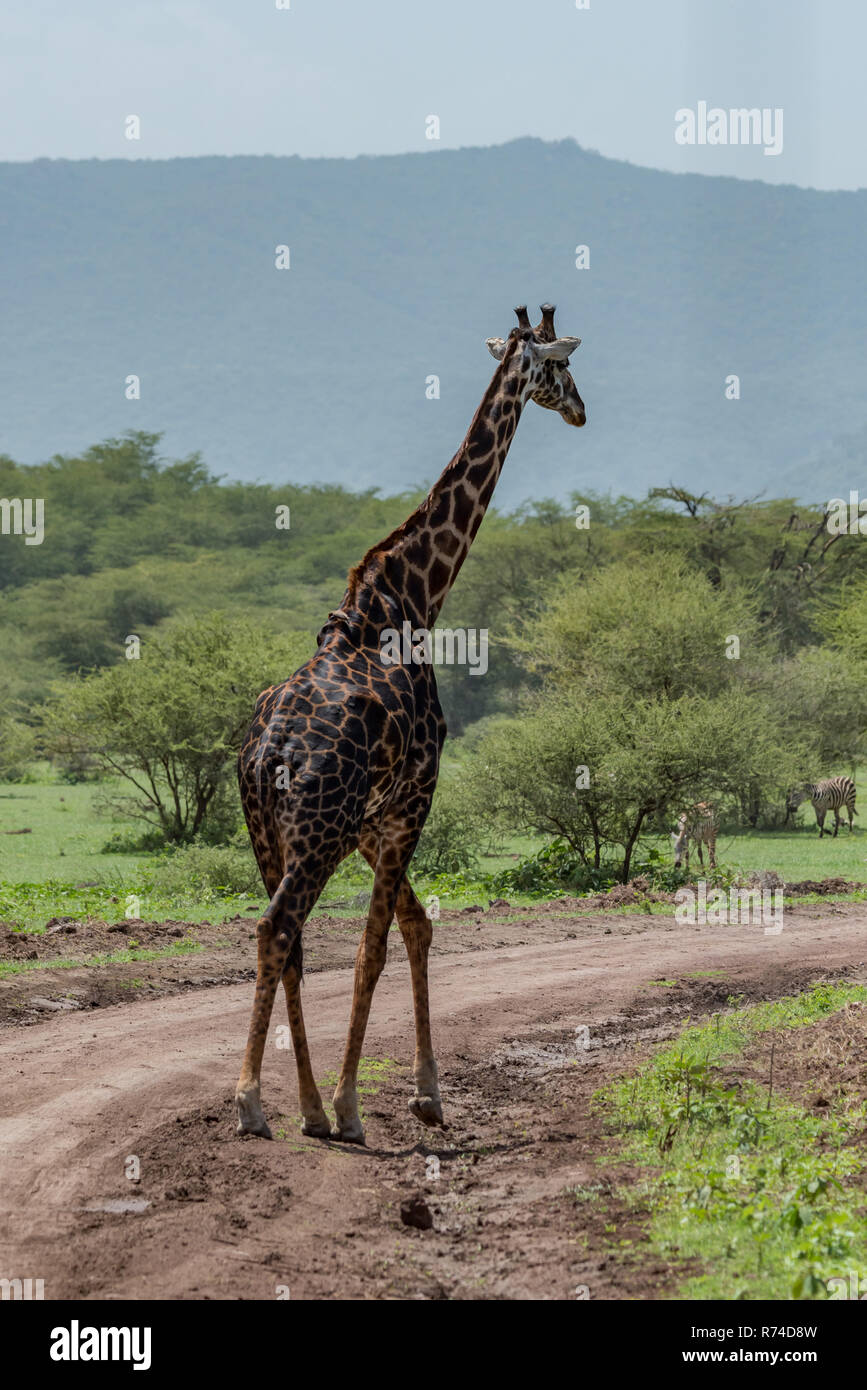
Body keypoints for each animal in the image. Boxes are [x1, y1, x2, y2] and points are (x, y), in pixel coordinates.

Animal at [235, 304, 586, 1144]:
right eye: (560, 366)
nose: (581, 410)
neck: (412, 599)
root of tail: (270, 749)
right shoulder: (411, 799)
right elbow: (373, 946)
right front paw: (352, 1106)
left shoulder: (374, 817)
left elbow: (415, 926)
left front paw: (420, 1095)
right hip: (315, 829)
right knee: (277, 929)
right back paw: (255, 1102)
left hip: (269, 829)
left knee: (288, 943)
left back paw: (297, 1105)